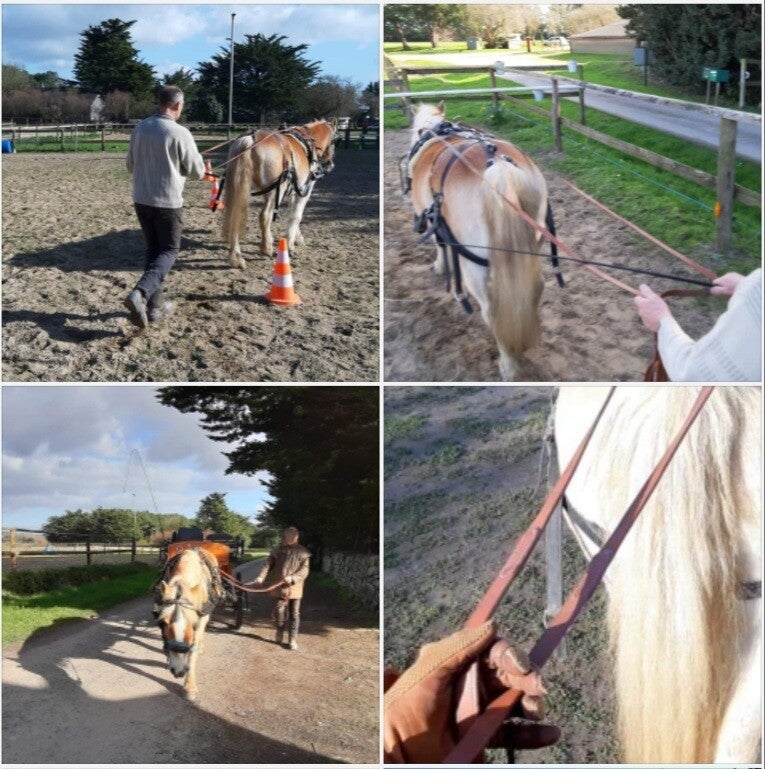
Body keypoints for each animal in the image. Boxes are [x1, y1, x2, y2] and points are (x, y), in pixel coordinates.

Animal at [152, 547, 224, 700]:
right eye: (161, 623)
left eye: (194, 624)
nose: (178, 671)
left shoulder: (202, 618)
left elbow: (193, 649)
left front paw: (190, 686)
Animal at [221, 120, 337, 268]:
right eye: (335, 140)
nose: (330, 165)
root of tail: (251, 139)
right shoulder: (304, 190)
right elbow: (296, 216)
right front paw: (290, 245)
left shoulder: (292, 191)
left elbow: (292, 214)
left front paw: (296, 238)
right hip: (275, 190)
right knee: (264, 216)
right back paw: (266, 248)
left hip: (238, 187)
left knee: (234, 214)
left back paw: (236, 256)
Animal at [406, 102, 555, 380]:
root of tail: (500, 168)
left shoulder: (430, 216)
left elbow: (440, 245)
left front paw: (439, 267)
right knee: (533, 291)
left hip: (476, 264)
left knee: (491, 309)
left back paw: (509, 365)